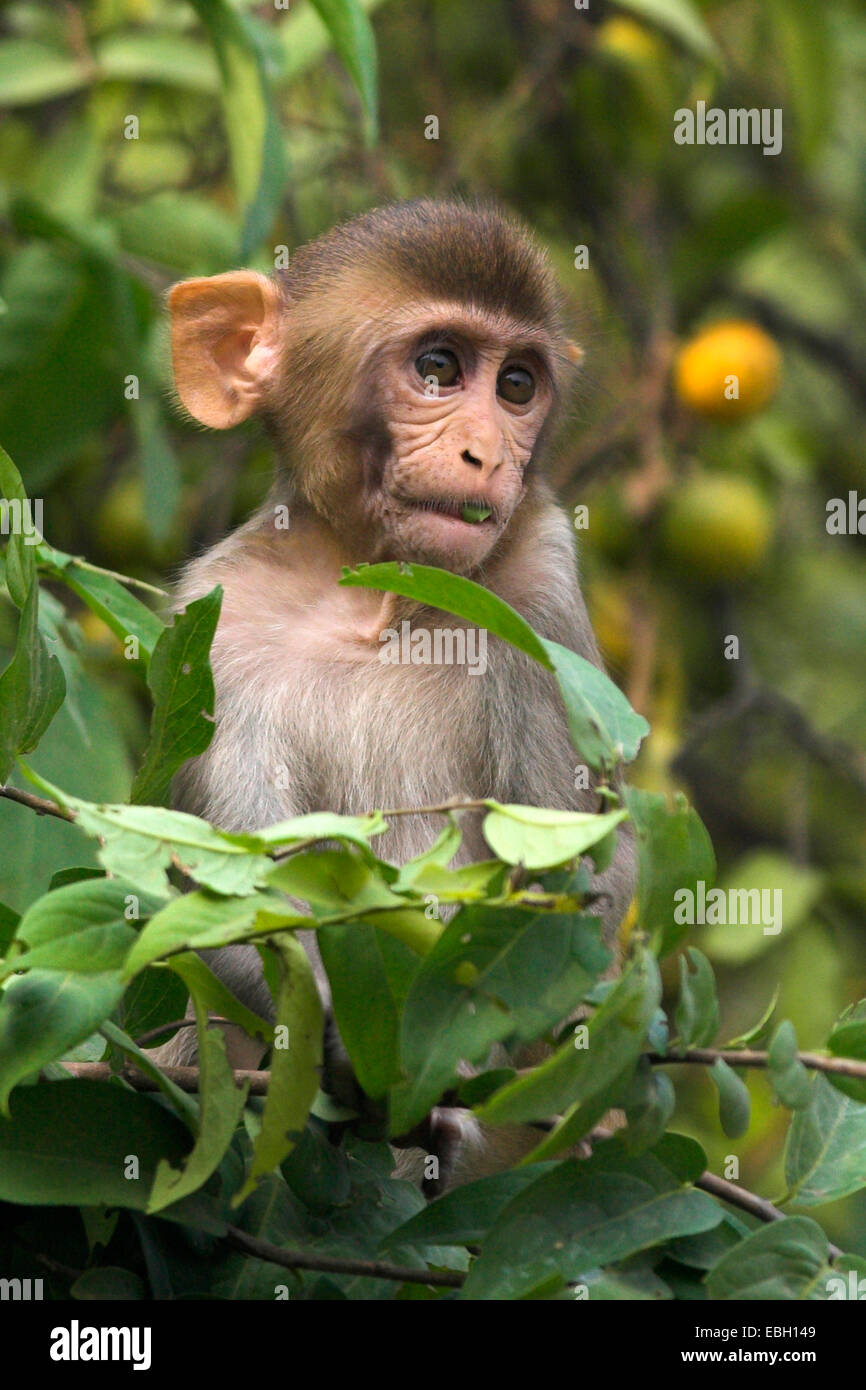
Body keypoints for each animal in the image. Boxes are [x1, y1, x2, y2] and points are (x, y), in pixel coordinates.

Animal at [161, 198, 635, 1190]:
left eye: (518, 385)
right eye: (440, 368)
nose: (487, 452)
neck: (371, 592)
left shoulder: (538, 582)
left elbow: (583, 879)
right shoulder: (214, 623)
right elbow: (226, 890)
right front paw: (336, 1033)